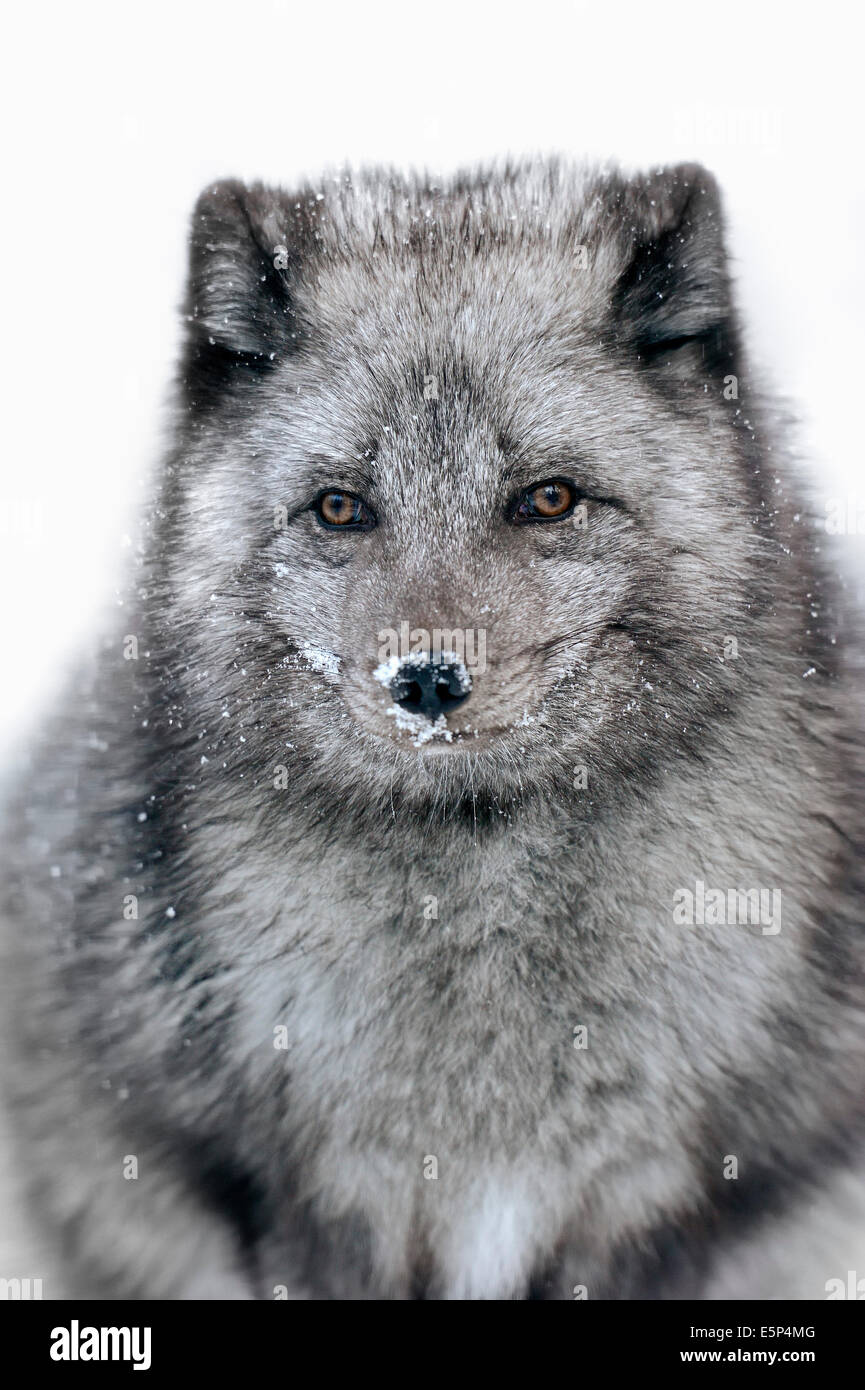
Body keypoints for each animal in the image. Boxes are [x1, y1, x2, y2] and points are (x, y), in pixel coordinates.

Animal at [1, 159, 864, 1299]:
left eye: (548, 499)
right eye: (338, 508)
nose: (425, 679)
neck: (480, 888)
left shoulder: (643, 1194)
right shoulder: (324, 1197)